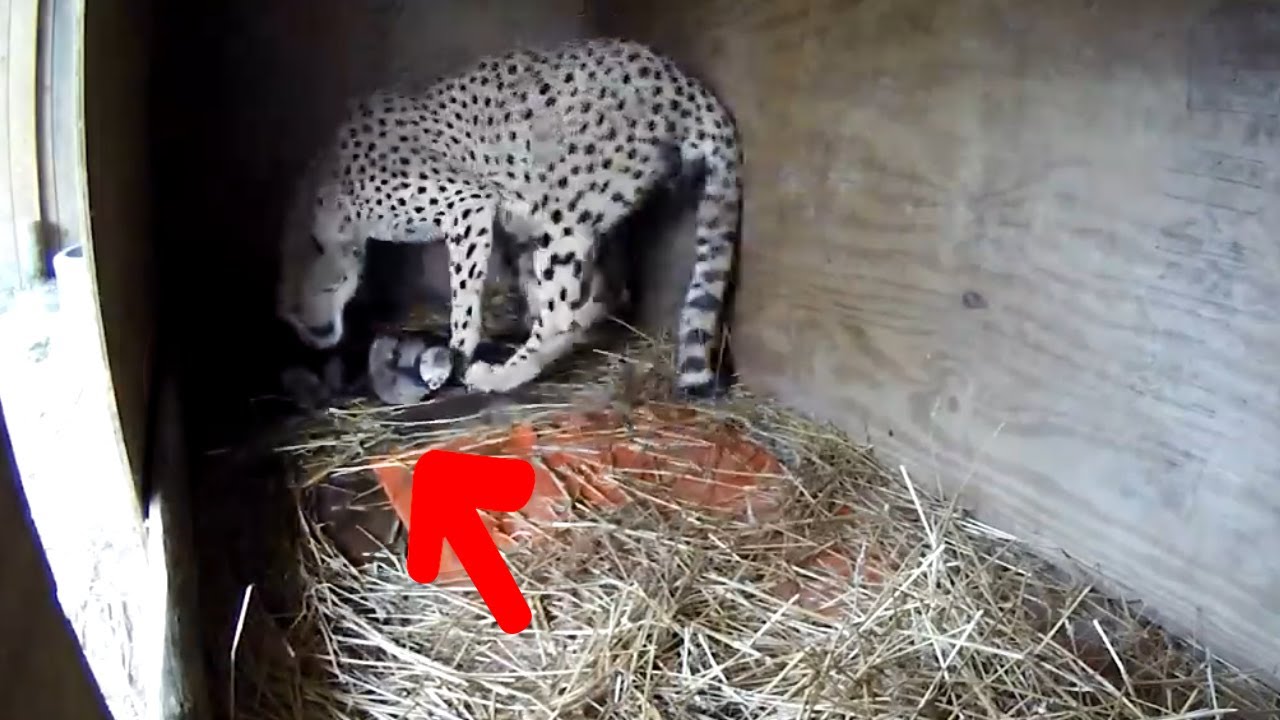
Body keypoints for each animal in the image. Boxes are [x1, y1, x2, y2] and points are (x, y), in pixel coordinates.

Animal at [275, 37, 743, 398]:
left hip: (561, 217)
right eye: (290, 315)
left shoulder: (468, 202)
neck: (328, 194)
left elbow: (464, 295)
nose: (318, 337)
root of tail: (678, 76)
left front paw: (457, 351)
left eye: (301, 307)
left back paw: (499, 376)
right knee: (602, 293)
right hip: (550, 221)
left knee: (561, 316)